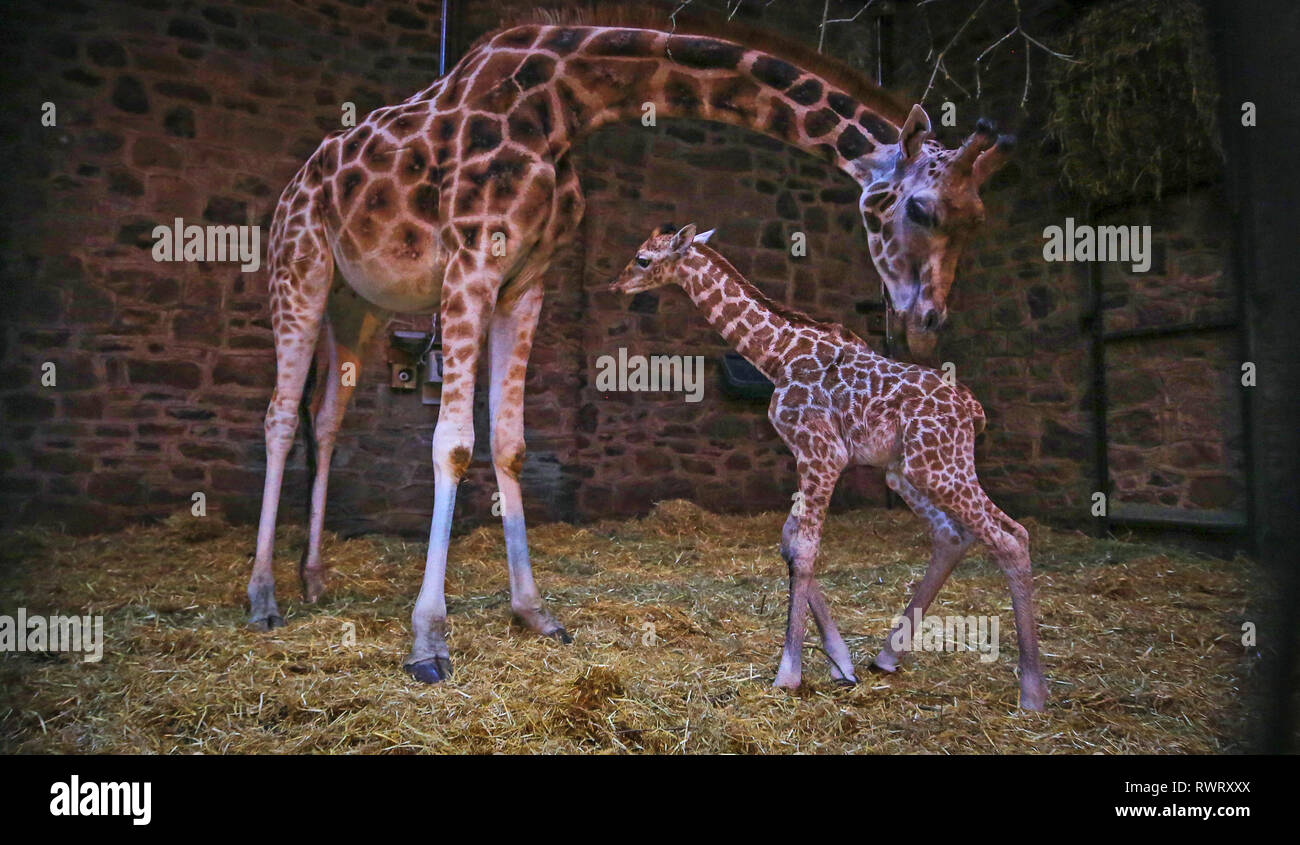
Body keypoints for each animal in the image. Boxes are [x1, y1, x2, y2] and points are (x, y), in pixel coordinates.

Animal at [247, 7, 1016, 685]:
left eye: (979, 220)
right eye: (921, 208)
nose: (925, 322)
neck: (564, 104)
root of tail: (294, 185)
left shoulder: (526, 278)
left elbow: (509, 442)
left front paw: (534, 613)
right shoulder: (471, 259)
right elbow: (454, 442)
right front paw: (428, 642)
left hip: (357, 304)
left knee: (327, 416)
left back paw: (313, 580)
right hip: (300, 268)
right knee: (280, 417)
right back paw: (263, 598)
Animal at [611, 224, 1047, 710]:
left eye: (643, 259)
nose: (616, 286)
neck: (778, 354)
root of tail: (974, 410)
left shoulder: (820, 451)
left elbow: (803, 548)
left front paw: (788, 674)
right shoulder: (813, 454)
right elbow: (789, 542)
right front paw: (841, 663)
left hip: (937, 464)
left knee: (1010, 537)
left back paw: (1032, 692)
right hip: (907, 470)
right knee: (954, 534)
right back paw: (887, 657)